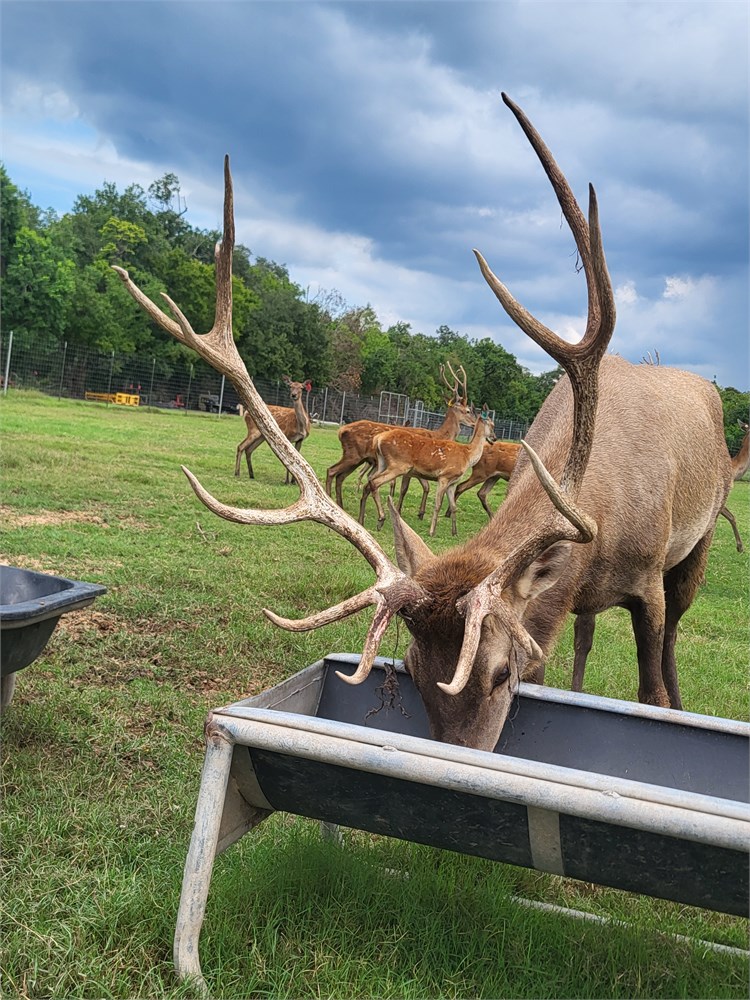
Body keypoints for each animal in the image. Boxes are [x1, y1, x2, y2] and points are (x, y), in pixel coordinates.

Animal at [325, 363, 476, 510]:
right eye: (468, 410)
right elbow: (407, 488)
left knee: (340, 476)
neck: (437, 435)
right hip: (353, 455)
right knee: (332, 471)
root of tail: (341, 430)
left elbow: (425, 487)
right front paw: (401, 509)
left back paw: (340, 504)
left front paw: (419, 512)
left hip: (359, 458)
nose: (475, 423)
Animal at [360, 410, 496, 537]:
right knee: (374, 482)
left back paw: (362, 520)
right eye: (492, 425)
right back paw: (381, 519)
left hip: (382, 463)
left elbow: (453, 506)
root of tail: (378, 439)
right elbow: (438, 504)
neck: (468, 457)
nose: (494, 438)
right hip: (398, 465)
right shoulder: (444, 477)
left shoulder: (452, 483)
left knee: (369, 481)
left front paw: (454, 532)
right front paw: (432, 531)